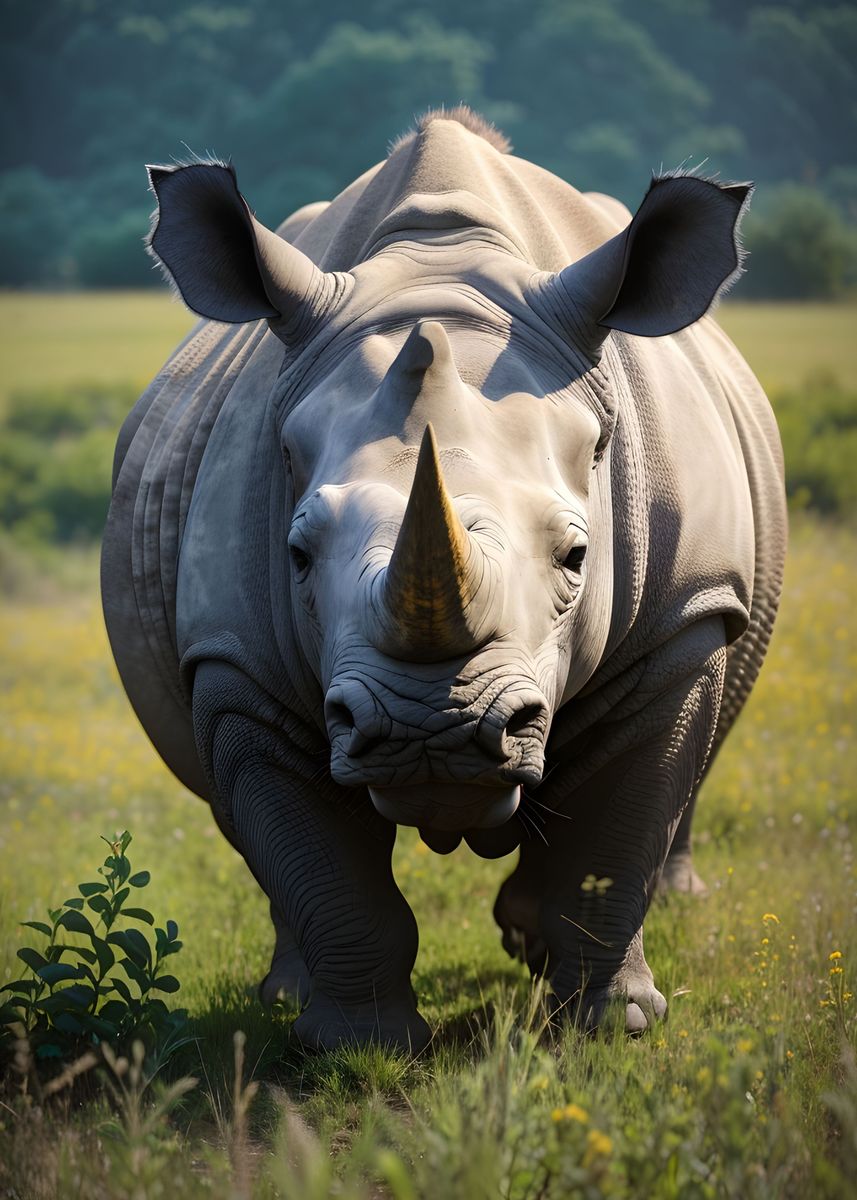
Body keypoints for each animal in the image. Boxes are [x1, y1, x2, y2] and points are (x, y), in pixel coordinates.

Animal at [102, 108, 786, 1051]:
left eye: (576, 558)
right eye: (297, 555)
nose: (430, 729)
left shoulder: (684, 616)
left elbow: (617, 836)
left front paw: (609, 1029)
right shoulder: (234, 653)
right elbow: (320, 861)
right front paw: (356, 1048)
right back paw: (283, 999)